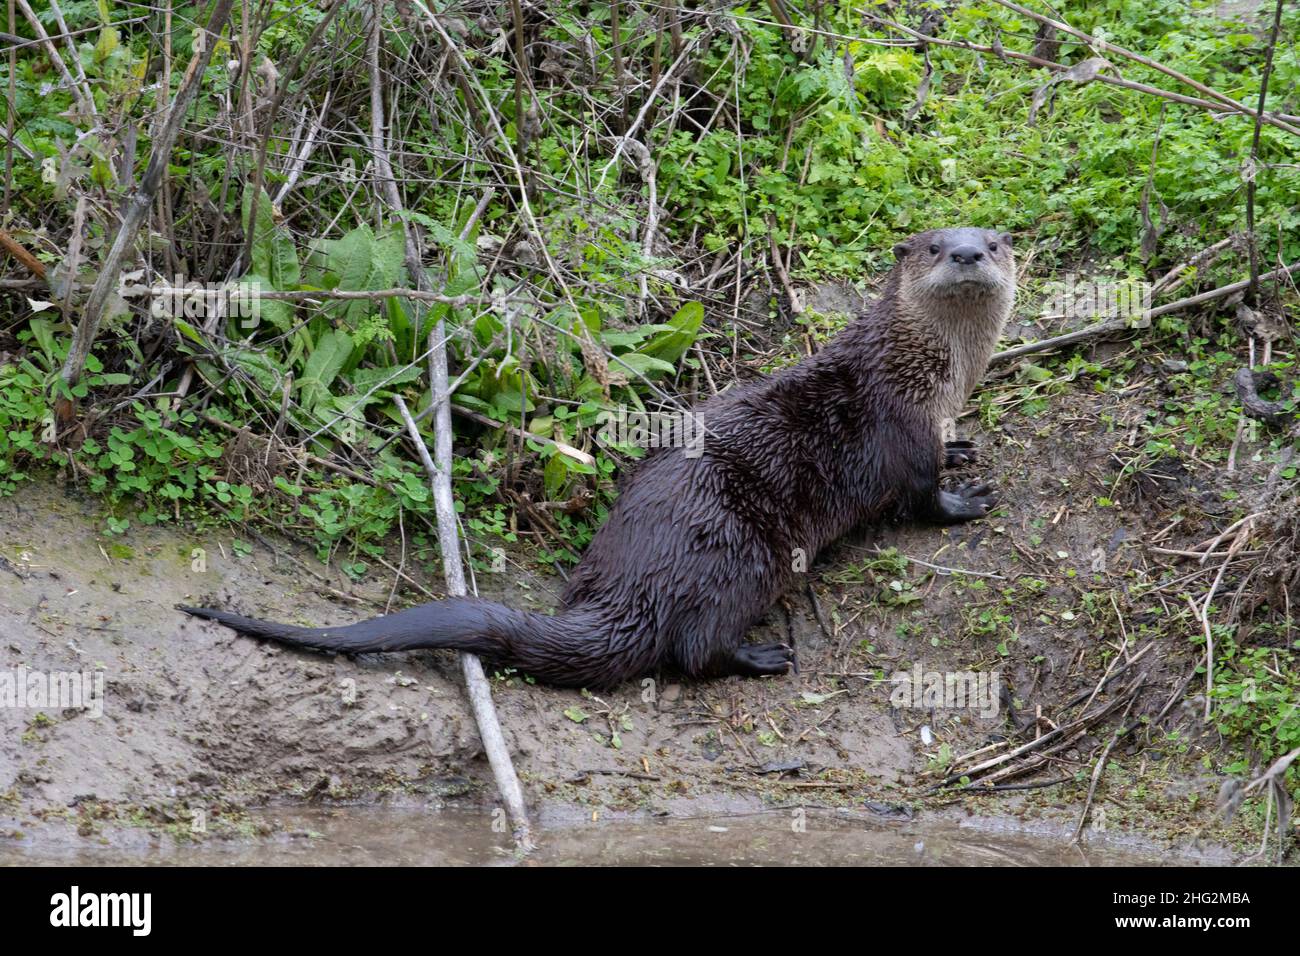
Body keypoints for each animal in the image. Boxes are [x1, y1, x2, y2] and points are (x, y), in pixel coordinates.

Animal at [180, 226, 1016, 688]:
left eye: (996, 241)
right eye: (936, 247)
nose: (968, 253)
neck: (926, 371)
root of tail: (630, 585)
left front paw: (964, 445)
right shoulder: (900, 430)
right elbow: (918, 496)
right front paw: (966, 500)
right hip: (744, 551)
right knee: (693, 649)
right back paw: (762, 657)